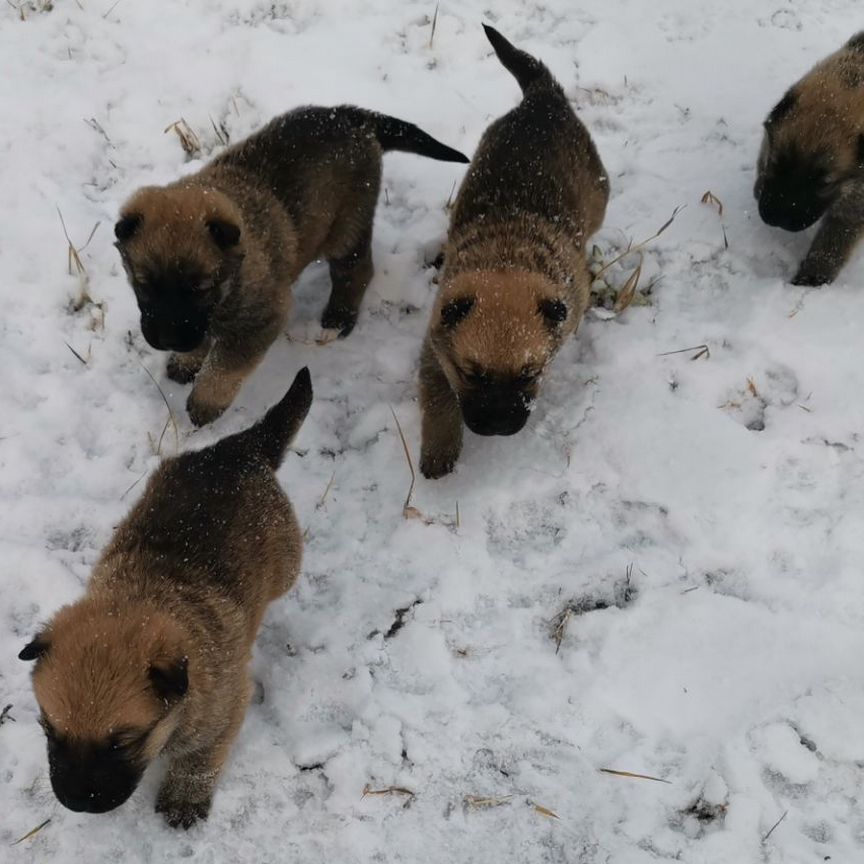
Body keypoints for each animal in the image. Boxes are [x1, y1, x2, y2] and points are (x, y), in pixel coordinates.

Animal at [19, 368, 314, 828]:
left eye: (121, 743)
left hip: (288, 563)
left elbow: (200, 758)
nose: (75, 801)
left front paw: (184, 797)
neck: (143, 599)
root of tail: (239, 450)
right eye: (50, 731)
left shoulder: (224, 711)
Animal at [115, 108, 466, 426]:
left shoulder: (262, 317)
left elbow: (225, 365)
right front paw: (186, 362)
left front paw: (205, 402)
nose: (167, 340)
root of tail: (350, 115)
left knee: (356, 270)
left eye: (198, 288)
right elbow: (202, 340)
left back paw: (338, 317)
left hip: (345, 227)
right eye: (143, 284)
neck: (233, 276)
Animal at [418, 25, 608, 480]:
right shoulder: (434, 348)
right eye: (472, 373)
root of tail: (543, 98)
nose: (499, 426)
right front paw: (439, 453)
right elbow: (439, 400)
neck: (507, 259)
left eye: (530, 373)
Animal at [752, 32, 864, 286]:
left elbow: (833, 243)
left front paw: (811, 279)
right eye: (776, 164)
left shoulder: (855, 203)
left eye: (824, 184)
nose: (777, 219)